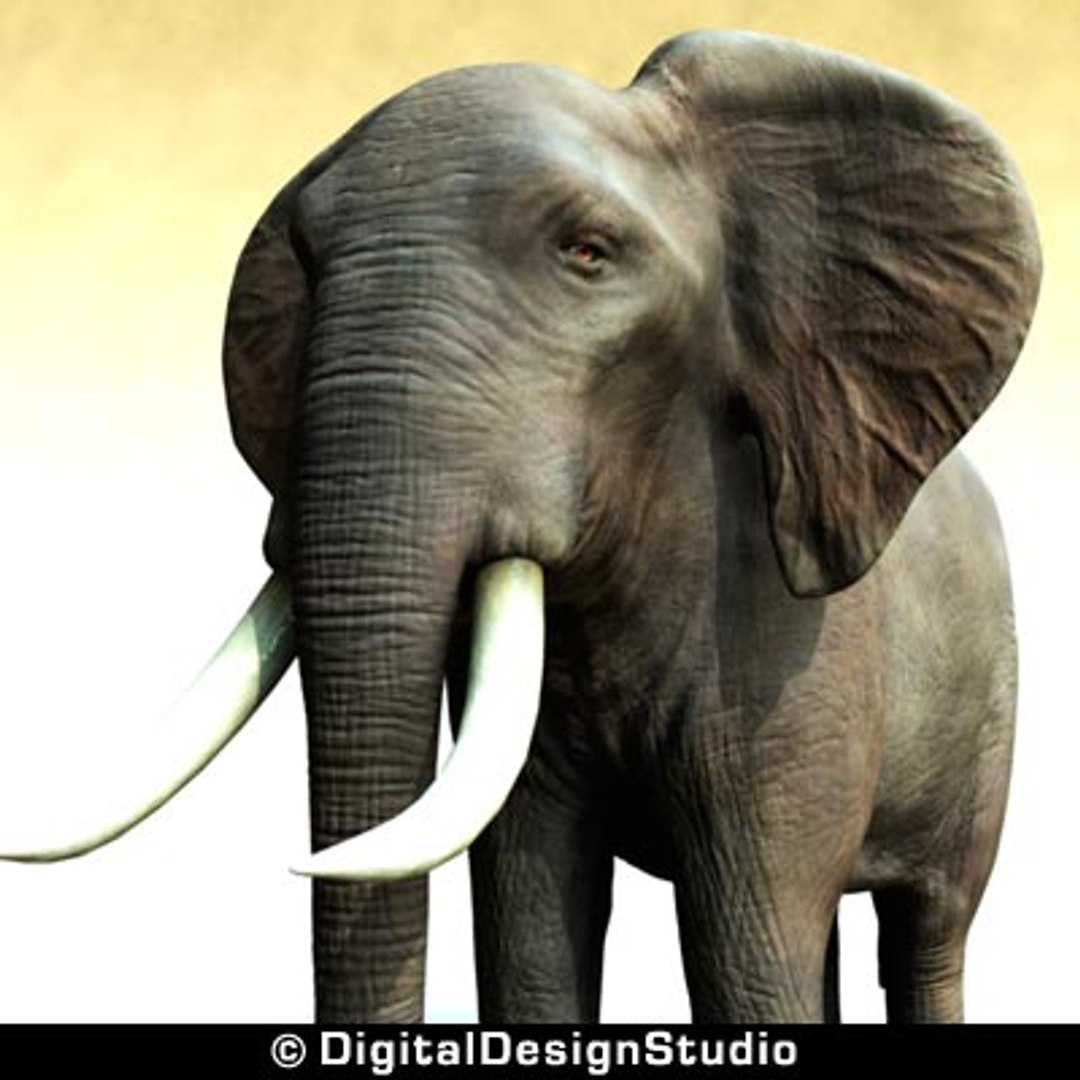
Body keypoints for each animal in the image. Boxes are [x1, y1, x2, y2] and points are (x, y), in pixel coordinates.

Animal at [2, 30, 1040, 1023]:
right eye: (304, 263)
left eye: (588, 253)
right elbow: (531, 909)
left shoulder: (796, 651)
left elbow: (746, 946)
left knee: (925, 935)